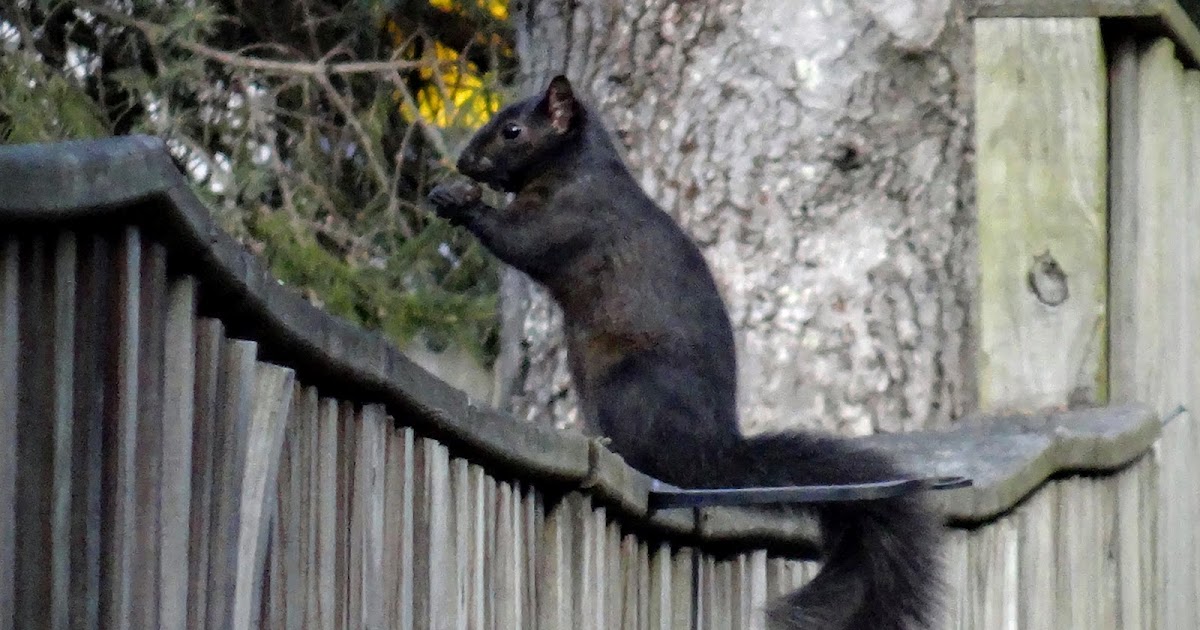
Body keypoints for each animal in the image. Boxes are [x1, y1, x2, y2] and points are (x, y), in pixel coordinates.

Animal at [428, 76, 943, 630]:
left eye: (512, 131)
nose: (464, 162)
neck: (573, 168)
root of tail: (713, 450)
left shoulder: (571, 217)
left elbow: (520, 242)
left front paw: (460, 201)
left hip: (631, 384)